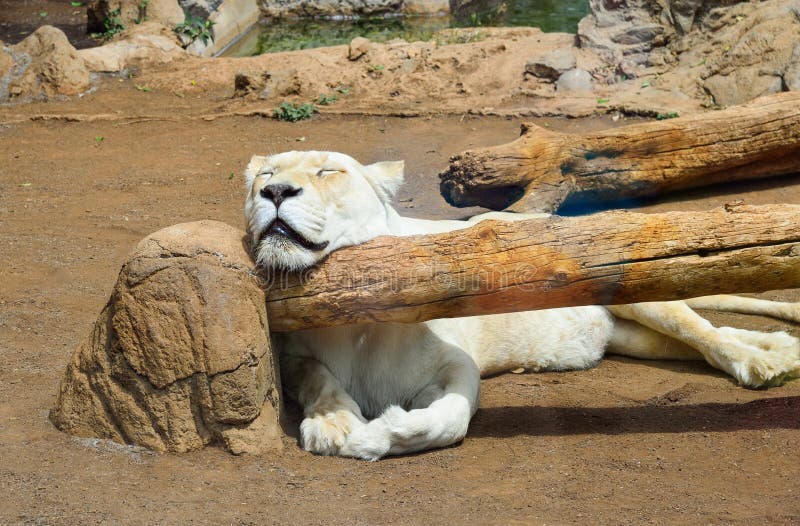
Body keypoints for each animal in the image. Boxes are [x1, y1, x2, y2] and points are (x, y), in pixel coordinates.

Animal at [244, 150, 800, 461]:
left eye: (327, 171)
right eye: (264, 174)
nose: (275, 190)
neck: (357, 322)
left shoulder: (456, 360)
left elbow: (451, 416)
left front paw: (387, 431)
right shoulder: (290, 352)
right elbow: (317, 377)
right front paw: (334, 424)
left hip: (639, 297)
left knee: (706, 332)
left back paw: (764, 364)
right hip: (635, 339)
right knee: (704, 339)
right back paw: (782, 351)